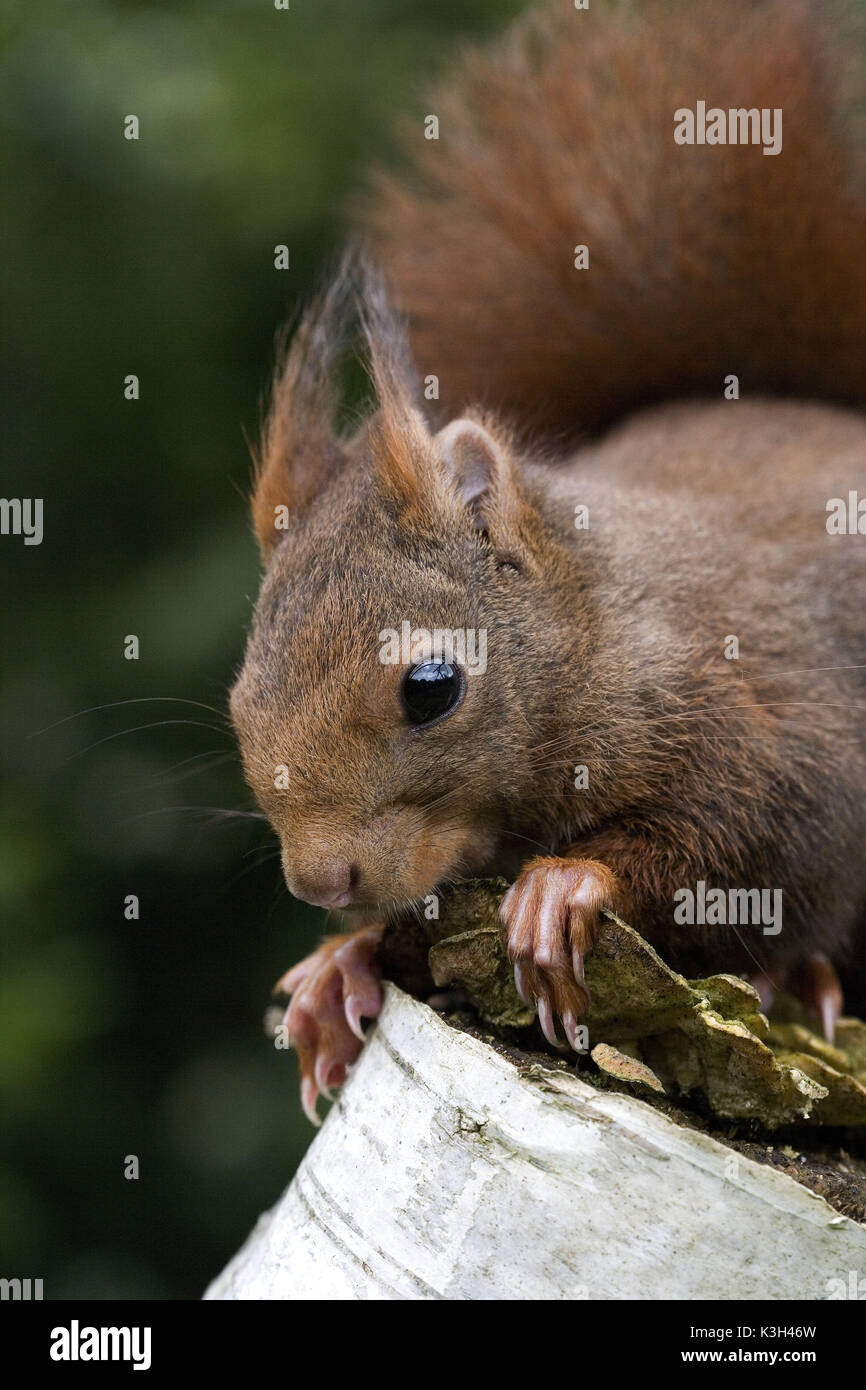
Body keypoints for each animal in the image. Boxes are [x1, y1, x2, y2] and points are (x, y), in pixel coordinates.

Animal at [229, 0, 866, 1124]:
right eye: (237, 703)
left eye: (431, 688)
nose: (322, 883)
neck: (596, 626)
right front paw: (340, 969)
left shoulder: (770, 714)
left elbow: (765, 841)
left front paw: (568, 886)